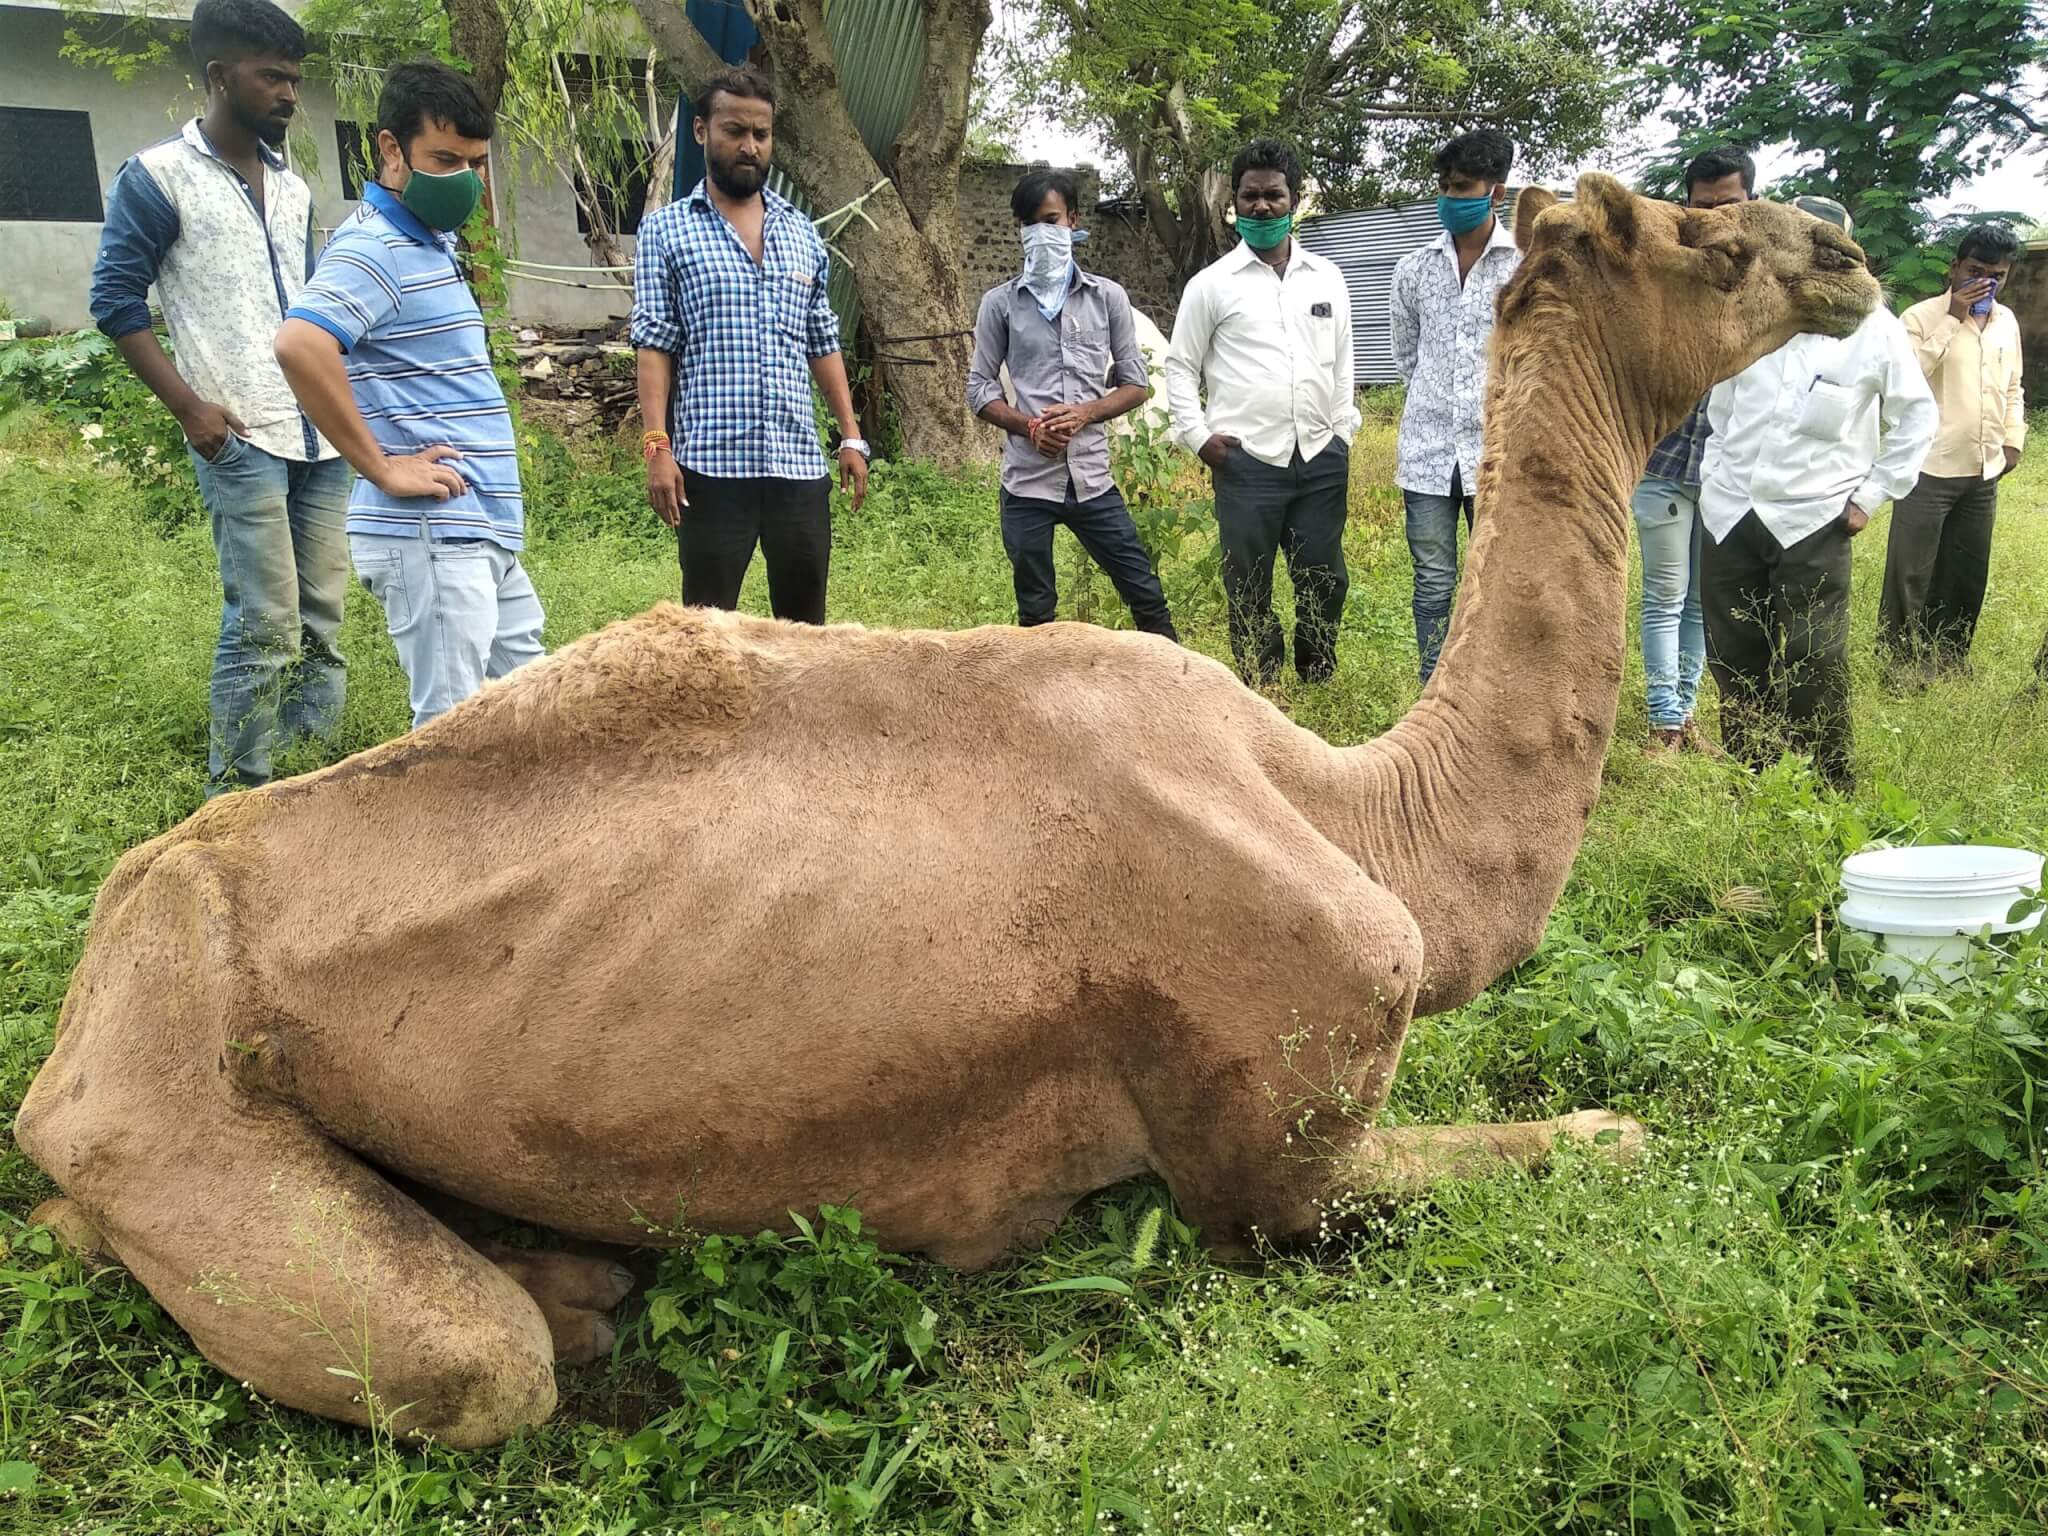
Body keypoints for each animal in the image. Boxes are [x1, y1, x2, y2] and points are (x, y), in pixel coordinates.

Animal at [12, 174, 1875, 1449]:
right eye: (1699, 235)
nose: (1846, 248)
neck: (1365, 821)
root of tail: (105, 944)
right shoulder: (1272, 1162)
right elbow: (1610, 1138)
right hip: (165, 1090)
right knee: (476, 1365)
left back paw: (579, 1271)